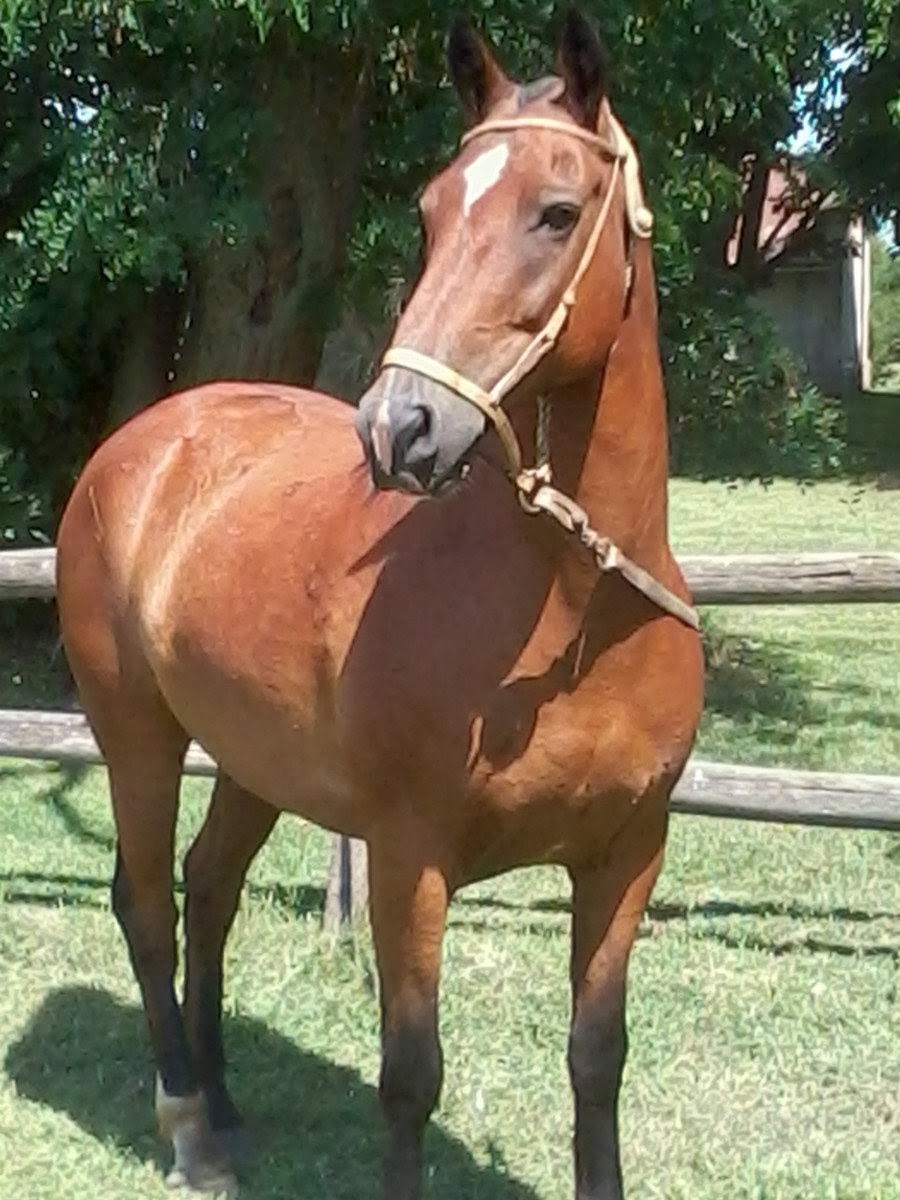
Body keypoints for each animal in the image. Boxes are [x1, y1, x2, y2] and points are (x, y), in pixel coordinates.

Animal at [55, 9, 703, 1198]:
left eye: (556, 212)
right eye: (431, 213)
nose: (399, 428)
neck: (573, 614)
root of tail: (143, 442)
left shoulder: (629, 853)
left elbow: (597, 1060)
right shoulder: (412, 861)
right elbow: (410, 1077)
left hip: (254, 759)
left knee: (208, 887)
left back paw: (225, 1101)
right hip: (136, 734)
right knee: (149, 904)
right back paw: (190, 1127)